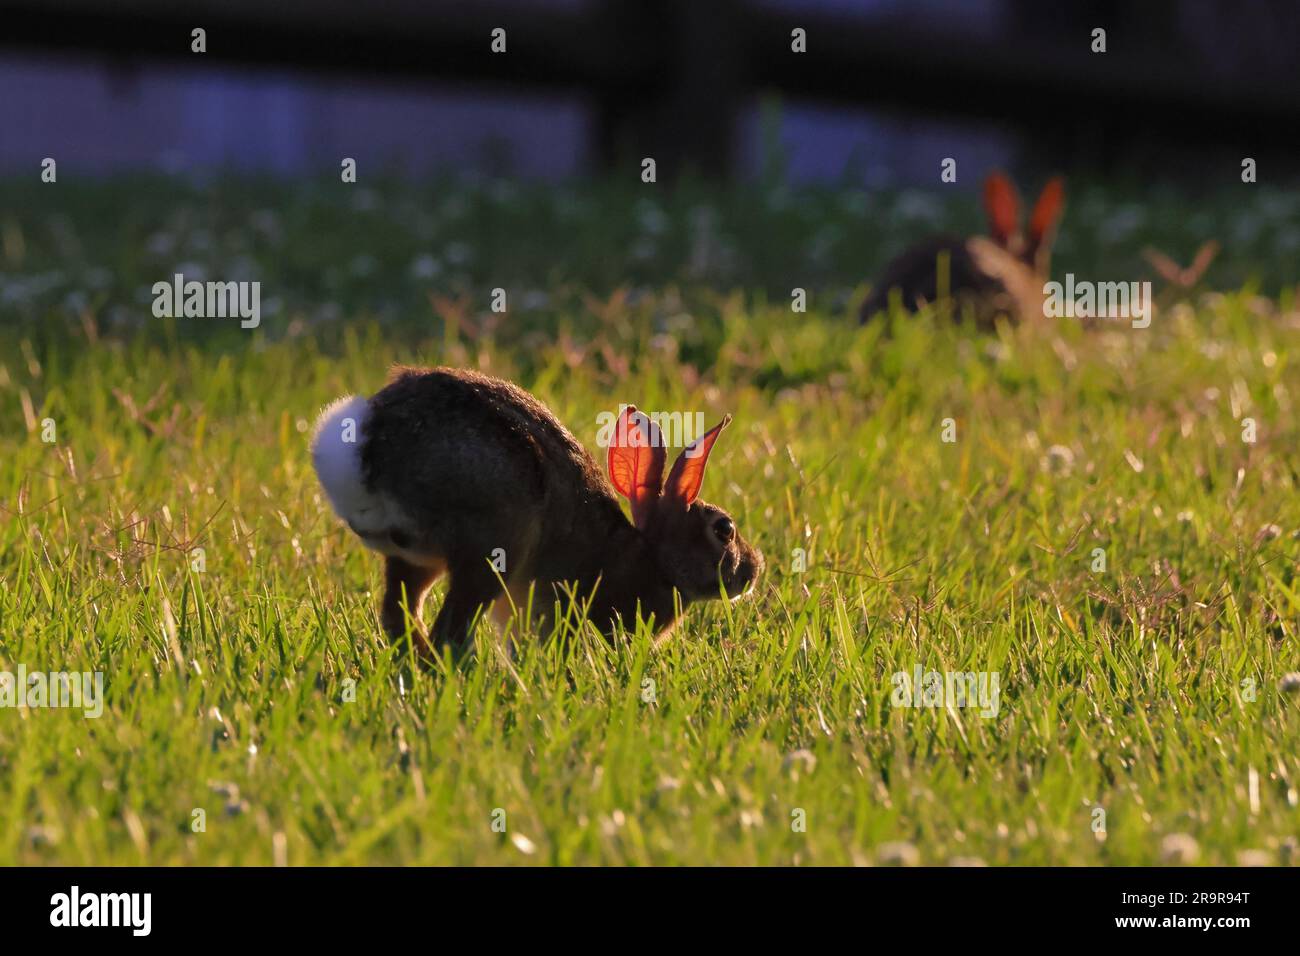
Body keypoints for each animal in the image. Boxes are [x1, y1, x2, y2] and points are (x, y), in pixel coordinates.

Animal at [310, 366, 763, 657]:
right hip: (496, 547)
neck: (652, 557)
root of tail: (370, 453)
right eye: (724, 529)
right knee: (449, 632)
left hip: (416, 558)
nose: (753, 570)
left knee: (399, 615)